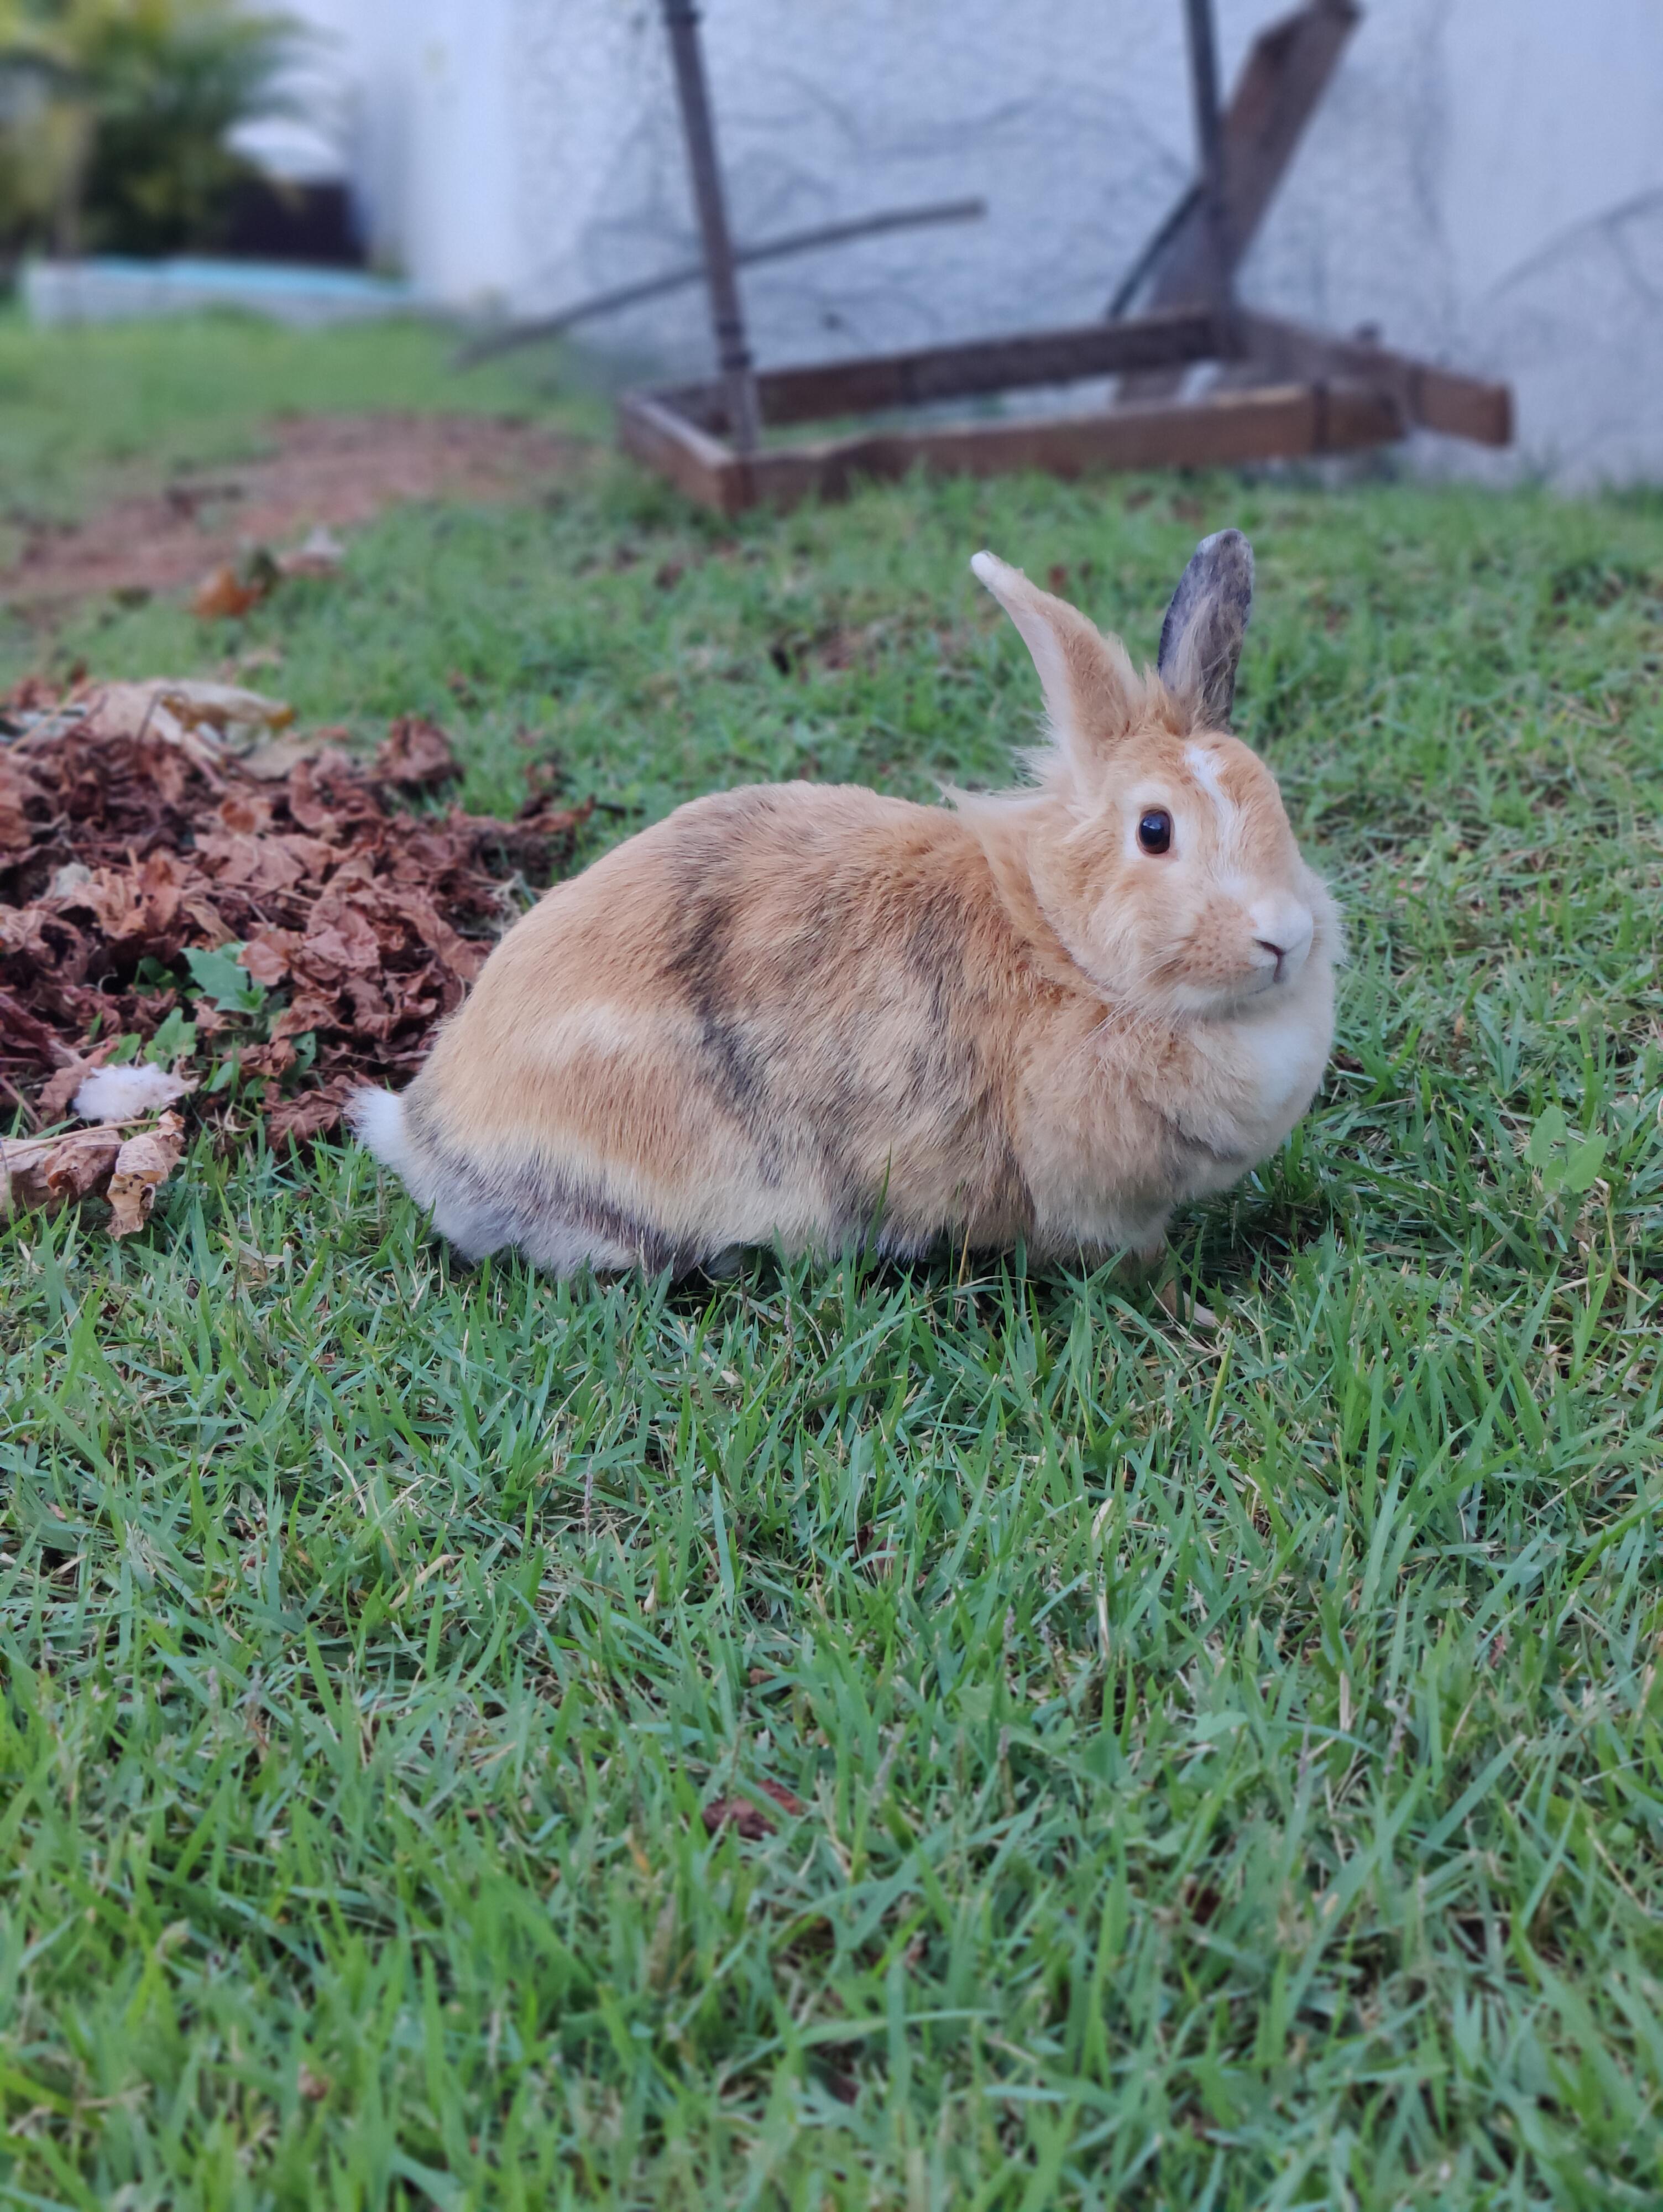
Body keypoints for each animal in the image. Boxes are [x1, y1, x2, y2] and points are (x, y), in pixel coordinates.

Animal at [348, 529, 1338, 1277]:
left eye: (1274, 801)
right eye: (1155, 831)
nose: (1284, 939)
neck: (1062, 944)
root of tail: (426, 1134)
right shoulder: (1098, 1208)